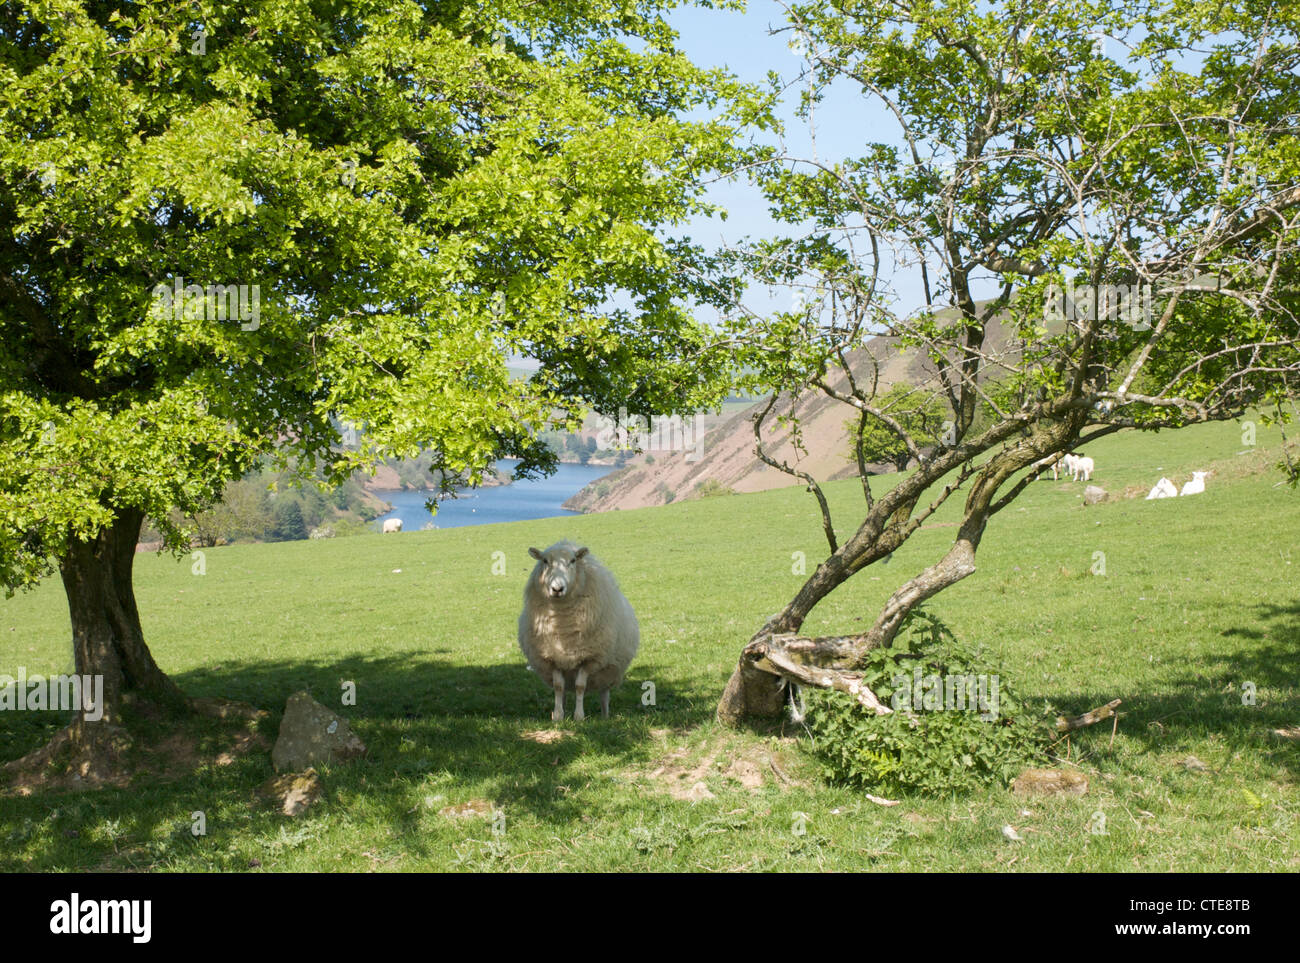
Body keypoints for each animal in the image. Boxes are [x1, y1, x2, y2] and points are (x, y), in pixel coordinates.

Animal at [518, 540, 639, 722]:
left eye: (573, 561)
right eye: (545, 561)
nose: (557, 589)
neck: (562, 626)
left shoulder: (589, 659)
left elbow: (580, 687)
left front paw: (579, 716)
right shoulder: (553, 658)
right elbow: (558, 687)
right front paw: (558, 716)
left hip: (607, 671)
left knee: (604, 693)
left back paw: (605, 716)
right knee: (563, 691)